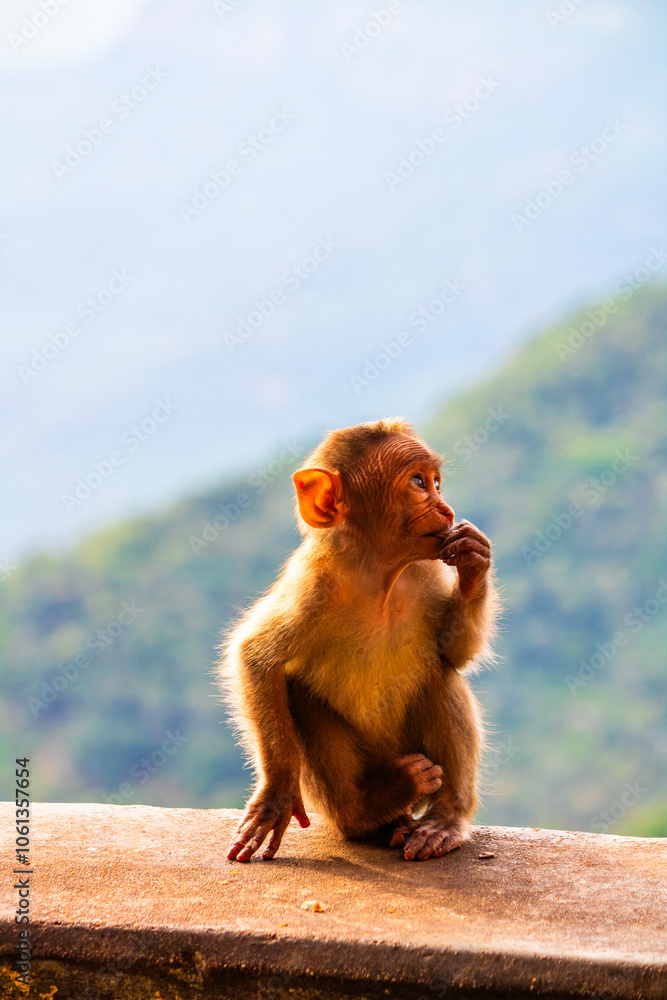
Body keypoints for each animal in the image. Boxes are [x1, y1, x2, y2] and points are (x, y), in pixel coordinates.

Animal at [219, 418, 499, 862]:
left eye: (437, 482)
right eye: (418, 482)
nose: (447, 510)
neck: (379, 574)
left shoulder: (426, 571)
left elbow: (451, 651)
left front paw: (474, 559)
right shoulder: (313, 585)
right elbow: (257, 659)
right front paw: (276, 795)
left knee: (440, 676)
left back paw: (444, 818)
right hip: (340, 788)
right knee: (301, 696)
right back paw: (370, 808)